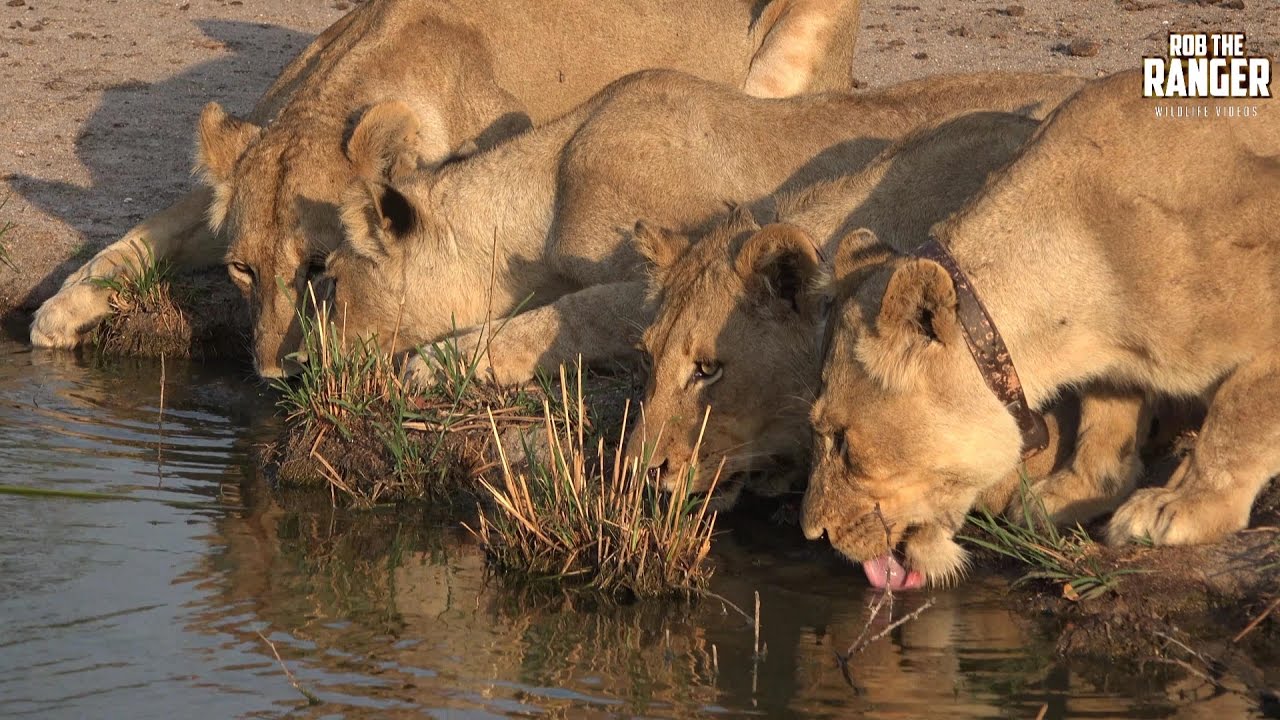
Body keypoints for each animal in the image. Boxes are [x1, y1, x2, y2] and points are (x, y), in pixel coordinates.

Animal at [805, 69, 1280, 589]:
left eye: (842, 441)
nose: (814, 534)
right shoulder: (1114, 361)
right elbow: (1105, 418)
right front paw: (1071, 494)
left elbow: (1237, 421)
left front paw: (1181, 506)